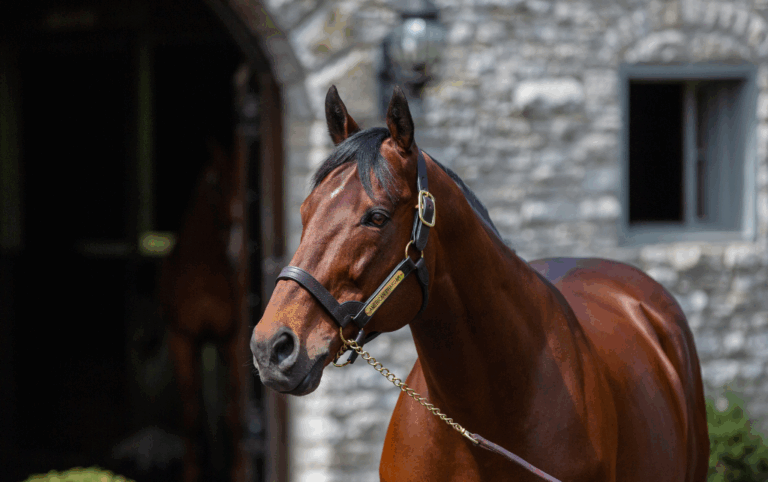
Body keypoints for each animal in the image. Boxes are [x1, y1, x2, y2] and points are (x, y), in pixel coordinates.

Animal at [158, 141, 250, 482]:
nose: (238, 249)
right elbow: (191, 414)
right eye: (216, 184)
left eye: (245, 177)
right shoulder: (182, 339)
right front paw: (191, 473)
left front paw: (239, 473)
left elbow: (235, 412)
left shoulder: (233, 339)